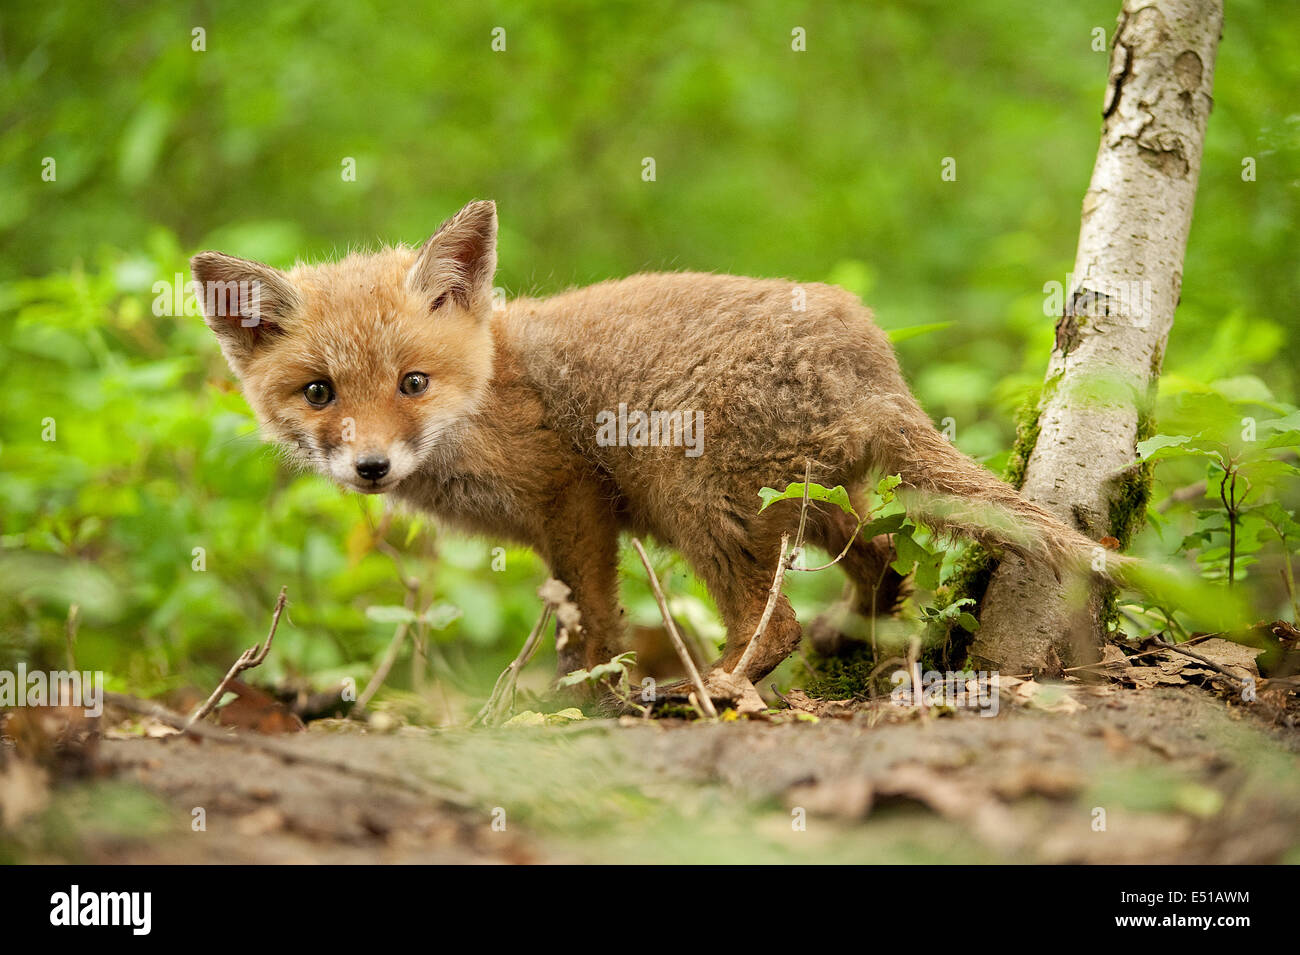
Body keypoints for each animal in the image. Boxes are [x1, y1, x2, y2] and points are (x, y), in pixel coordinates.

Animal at [192, 199, 1111, 689]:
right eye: (319, 393)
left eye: (412, 383)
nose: (371, 466)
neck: (491, 388)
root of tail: (871, 355)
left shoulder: (575, 497)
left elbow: (595, 625)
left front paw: (580, 697)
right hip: (805, 503)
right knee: (887, 570)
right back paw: (849, 638)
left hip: (695, 495)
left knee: (776, 624)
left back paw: (715, 688)